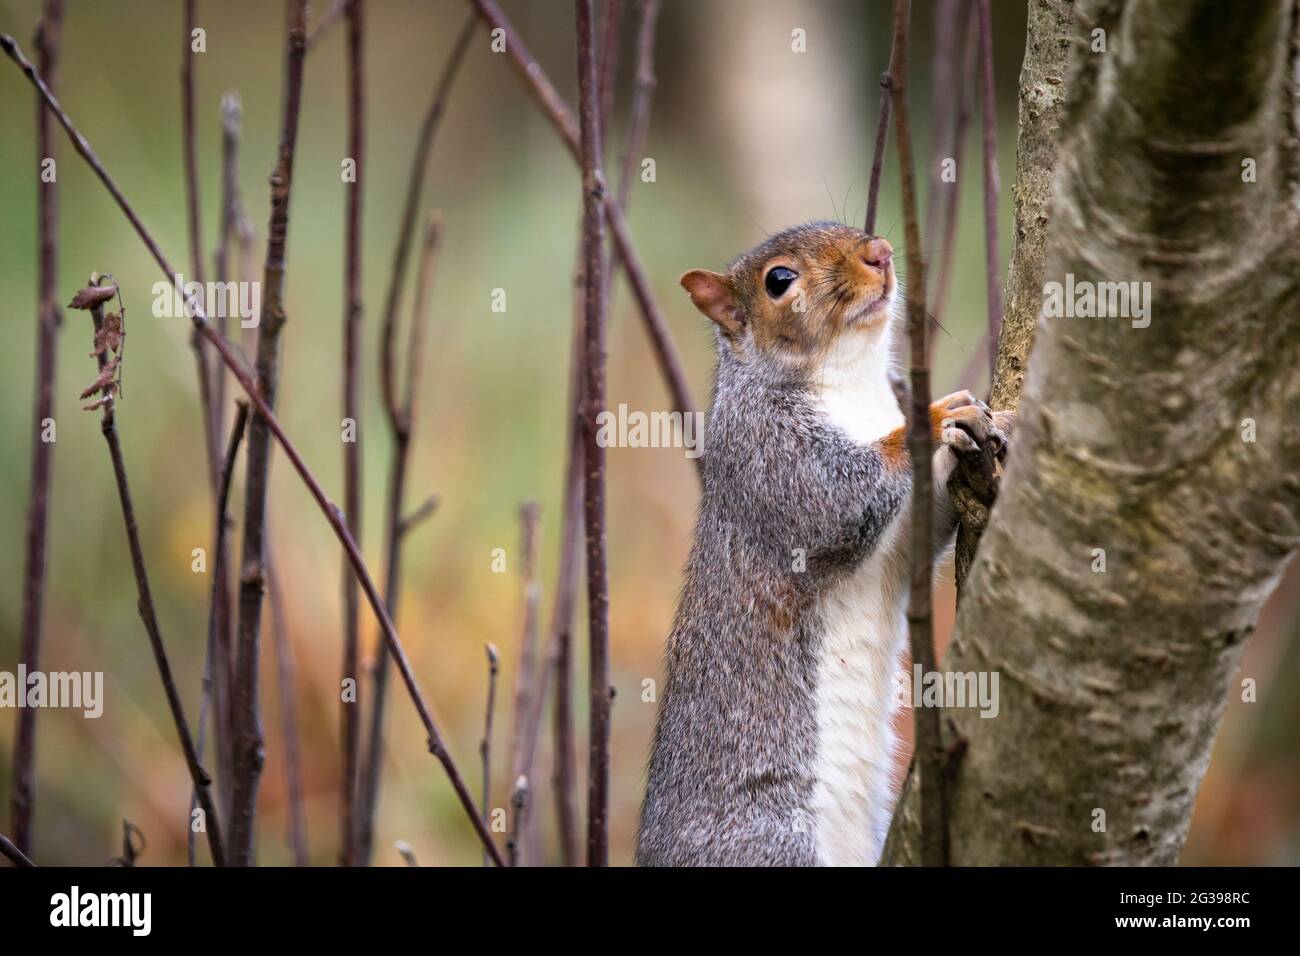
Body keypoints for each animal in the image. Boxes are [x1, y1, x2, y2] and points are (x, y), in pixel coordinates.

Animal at [636, 221, 1011, 866]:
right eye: (779, 280)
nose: (879, 252)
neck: (851, 382)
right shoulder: (770, 459)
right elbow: (834, 502)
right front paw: (935, 416)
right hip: (771, 842)